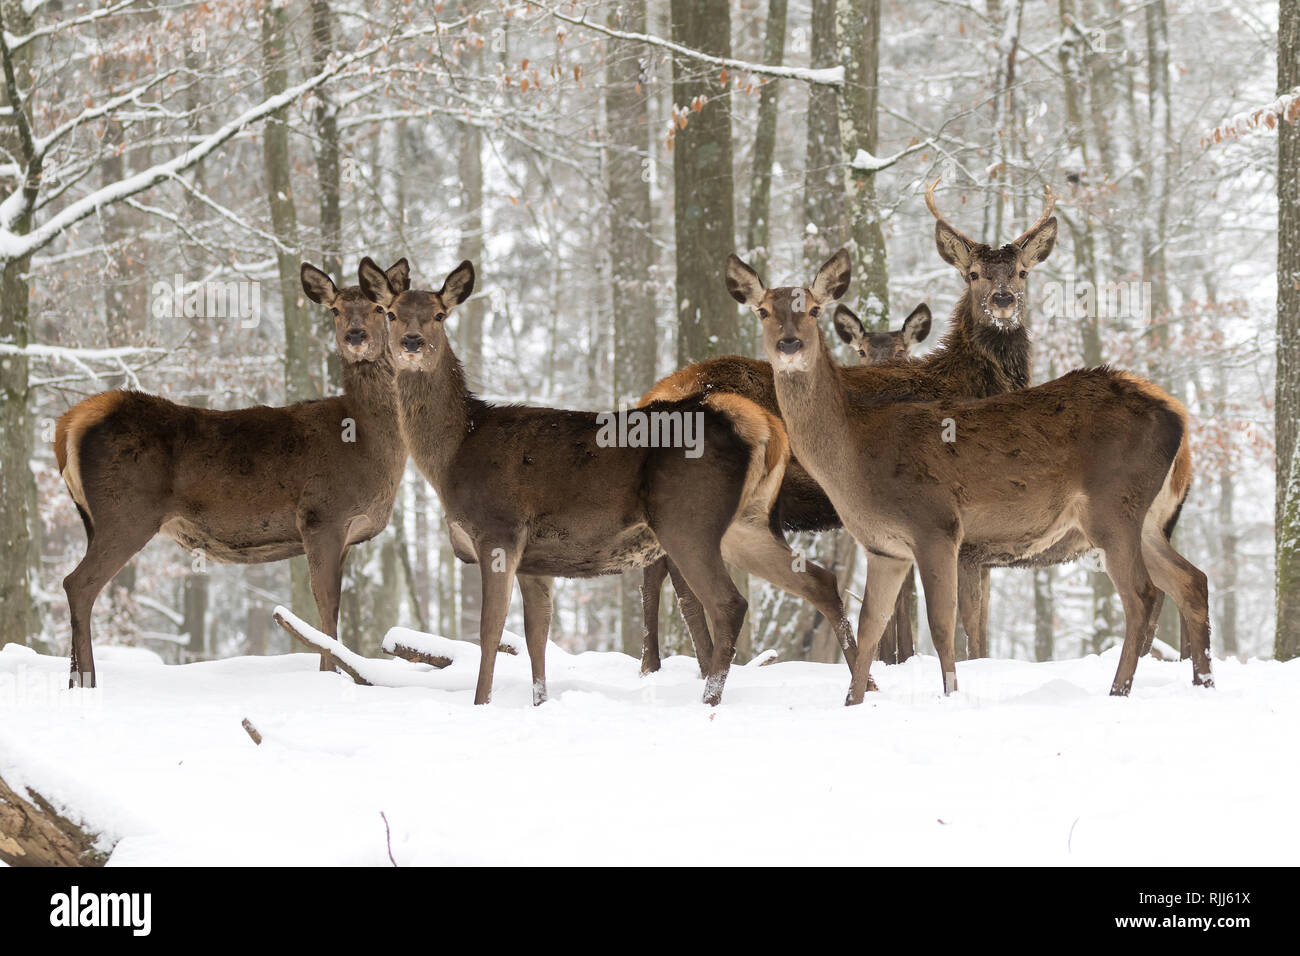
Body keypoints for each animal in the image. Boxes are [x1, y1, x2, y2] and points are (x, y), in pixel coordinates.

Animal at [53, 259, 411, 688]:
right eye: (336, 310)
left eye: (380, 308)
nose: (355, 336)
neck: (365, 440)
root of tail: (71, 421)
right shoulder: (322, 515)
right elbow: (325, 605)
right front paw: (330, 678)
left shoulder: (342, 535)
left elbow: (332, 606)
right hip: (125, 513)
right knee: (78, 584)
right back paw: (87, 681)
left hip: (92, 518)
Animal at [359, 256, 790, 707]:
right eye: (390, 313)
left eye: (440, 314)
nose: (411, 342)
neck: (454, 454)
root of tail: (760, 425)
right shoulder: (535, 559)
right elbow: (536, 637)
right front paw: (539, 703)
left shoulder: (499, 530)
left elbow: (489, 631)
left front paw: (481, 704)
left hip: (689, 520)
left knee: (728, 604)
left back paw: (709, 700)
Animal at [636, 300, 933, 677]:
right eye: (862, 351)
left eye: (902, 350)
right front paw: (894, 658)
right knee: (678, 582)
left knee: (656, 573)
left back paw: (654, 664)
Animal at [725, 247, 1213, 702]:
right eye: (762, 310)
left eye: (813, 310)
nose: (790, 345)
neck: (856, 455)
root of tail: (1179, 416)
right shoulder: (884, 548)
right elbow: (870, 629)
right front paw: (853, 702)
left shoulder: (937, 525)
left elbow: (943, 627)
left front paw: (950, 696)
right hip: (1147, 518)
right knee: (1191, 580)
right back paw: (1203, 682)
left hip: (1113, 505)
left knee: (1143, 595)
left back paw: (1119, 689)